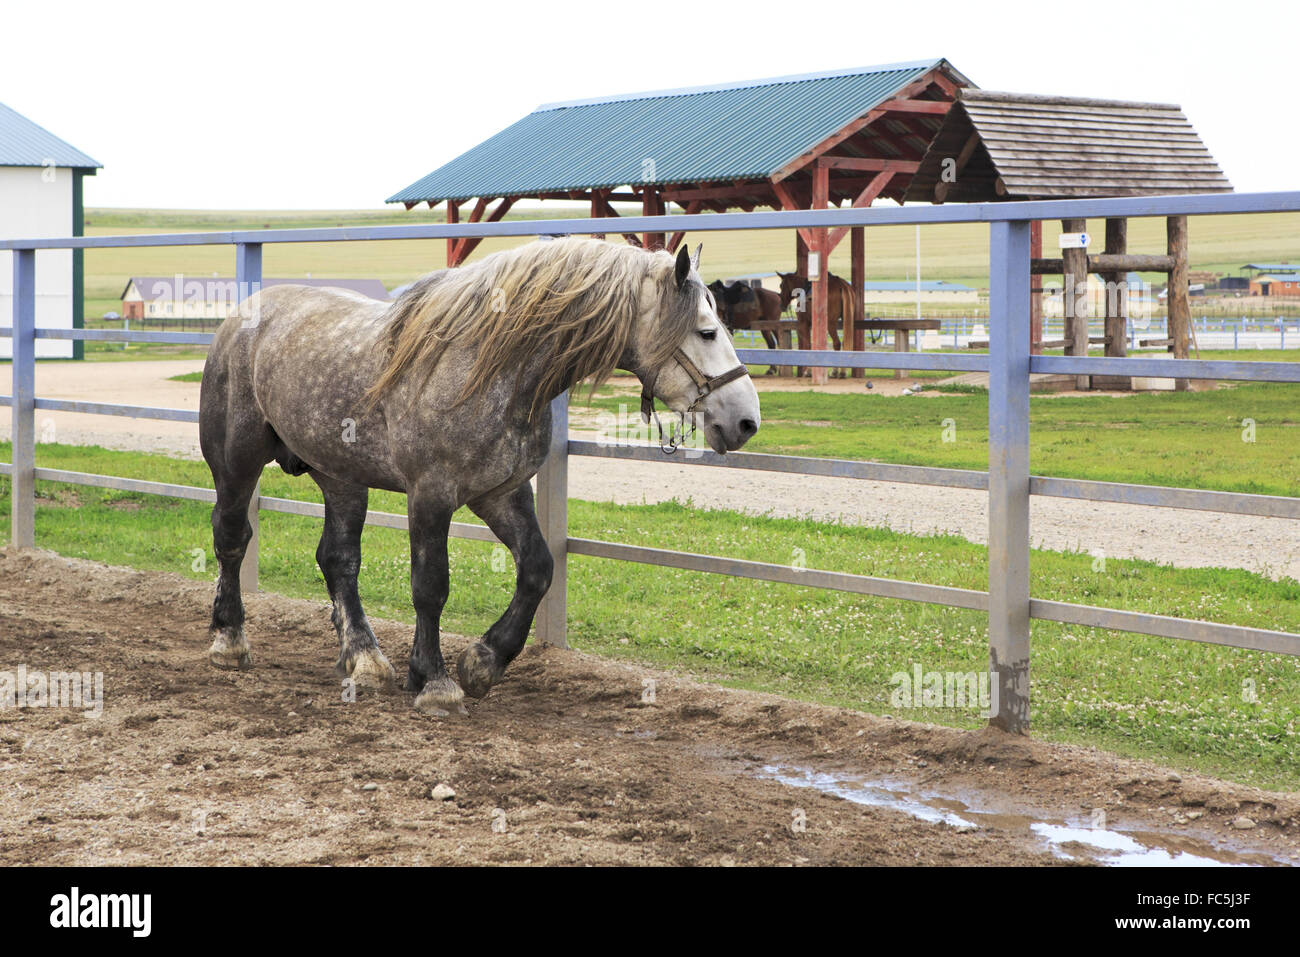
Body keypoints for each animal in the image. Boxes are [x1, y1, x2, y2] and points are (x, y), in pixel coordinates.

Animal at [199, 239, 761, 716]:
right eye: (707, 332)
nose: (745, 421)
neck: (490, 369)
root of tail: (242, 317)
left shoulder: (501, 494)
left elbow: (537, 569)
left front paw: (483, 662)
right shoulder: (430, 496)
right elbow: (431, 587)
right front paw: (434, 681)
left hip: (341, 477)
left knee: (339, 560)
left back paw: (364, 658)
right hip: (236, 462)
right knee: (231, 537)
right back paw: (230, 641)